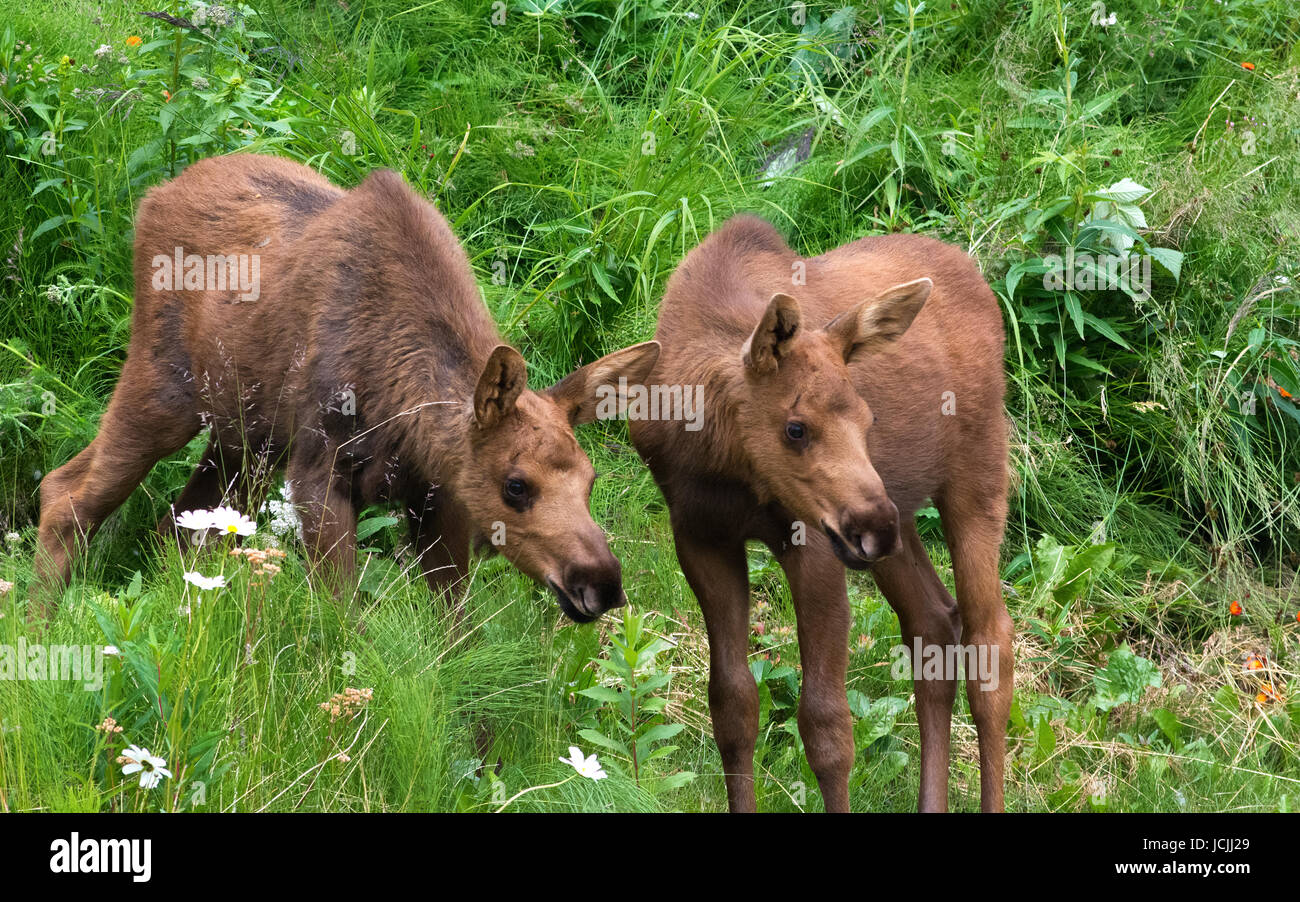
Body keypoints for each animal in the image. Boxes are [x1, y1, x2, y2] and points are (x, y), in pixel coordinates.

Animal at [32, 153, 660, 626]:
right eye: (516, 485)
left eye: (590, 480)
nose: (602, 584)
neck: (406, 410)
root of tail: (153, 196)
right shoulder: (319, 467)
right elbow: (341, 618)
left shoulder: (440, 495)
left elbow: (454, 630)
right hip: (166, 384)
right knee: (67, 491)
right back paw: (38, 625)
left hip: (247, 435)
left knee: (180, 526)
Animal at [629, 216, 1011, 812]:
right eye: (796, 427)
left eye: (868, 418)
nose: (873, 526)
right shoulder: (700, 537)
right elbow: (732, 707)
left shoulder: (813, 544)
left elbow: (826, 728)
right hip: (898, 520)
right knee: (933, 623)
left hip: (975, 475)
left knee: (990, 641)